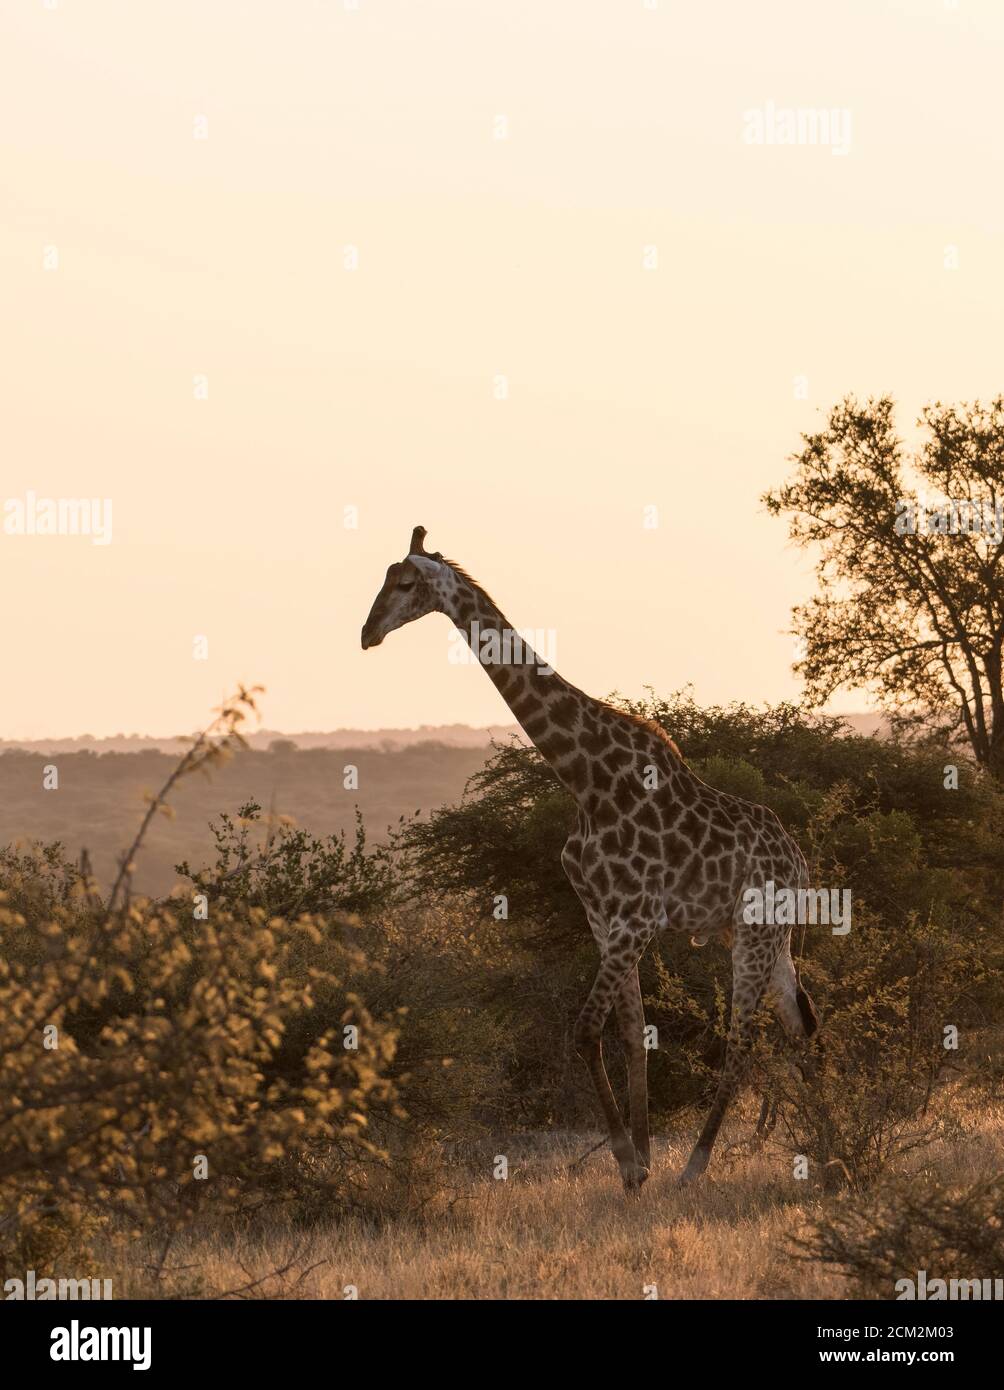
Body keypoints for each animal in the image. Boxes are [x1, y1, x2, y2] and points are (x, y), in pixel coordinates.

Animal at [361, 527, 819, 1191]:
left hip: (756, 932)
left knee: (744, 1041)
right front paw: (642, 1159)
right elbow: (629, 1033)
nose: (366, 632)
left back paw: (697, 1167)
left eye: (404, 583)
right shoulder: (603, 919)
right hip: (761, 933)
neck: (585, 778)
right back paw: (830, 1141)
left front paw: (630, 1163)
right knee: (800, 1019)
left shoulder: (635, 919)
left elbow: (584, 1031)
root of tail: (801, 862)